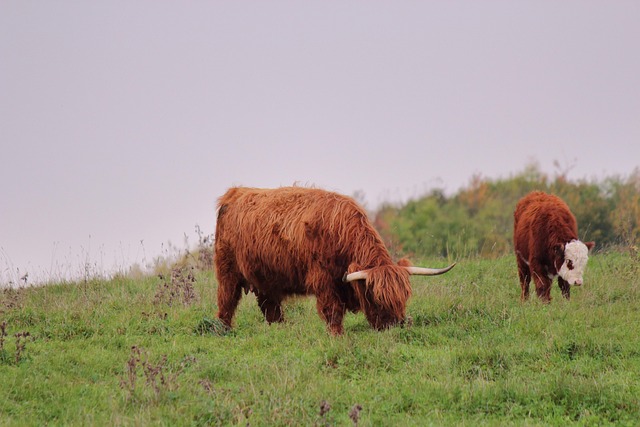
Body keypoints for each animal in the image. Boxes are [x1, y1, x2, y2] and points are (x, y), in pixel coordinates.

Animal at [214, 186, 456, 335]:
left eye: (403, 297)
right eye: (376, 297)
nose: (394, 326)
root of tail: (234, 192)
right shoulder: (323, 280)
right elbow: (333, 311)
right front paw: (337, 335)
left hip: (267, 278)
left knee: (270, 307)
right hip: (227, 271)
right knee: (227, 302)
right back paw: (225, 330)